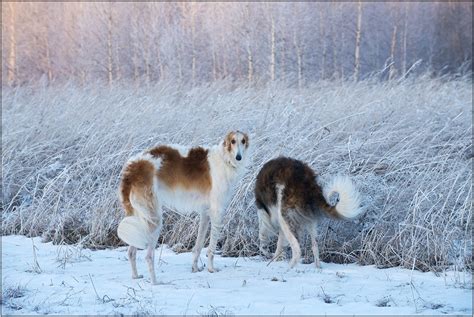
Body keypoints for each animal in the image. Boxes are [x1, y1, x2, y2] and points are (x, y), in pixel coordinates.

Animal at [117, 131, 250, 284]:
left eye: (243, 141)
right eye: (233, 141)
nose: (239, 157)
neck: (224, 159)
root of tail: (131, 168)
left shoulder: (205, 213)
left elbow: (198, 246)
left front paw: (195, 268)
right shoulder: (217, 211)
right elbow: (211, 248)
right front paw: (211, 269)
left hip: (139, 218)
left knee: (131, 251)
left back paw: (135, 276)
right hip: (153, 218)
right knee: (148, 256)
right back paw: (155, 282)